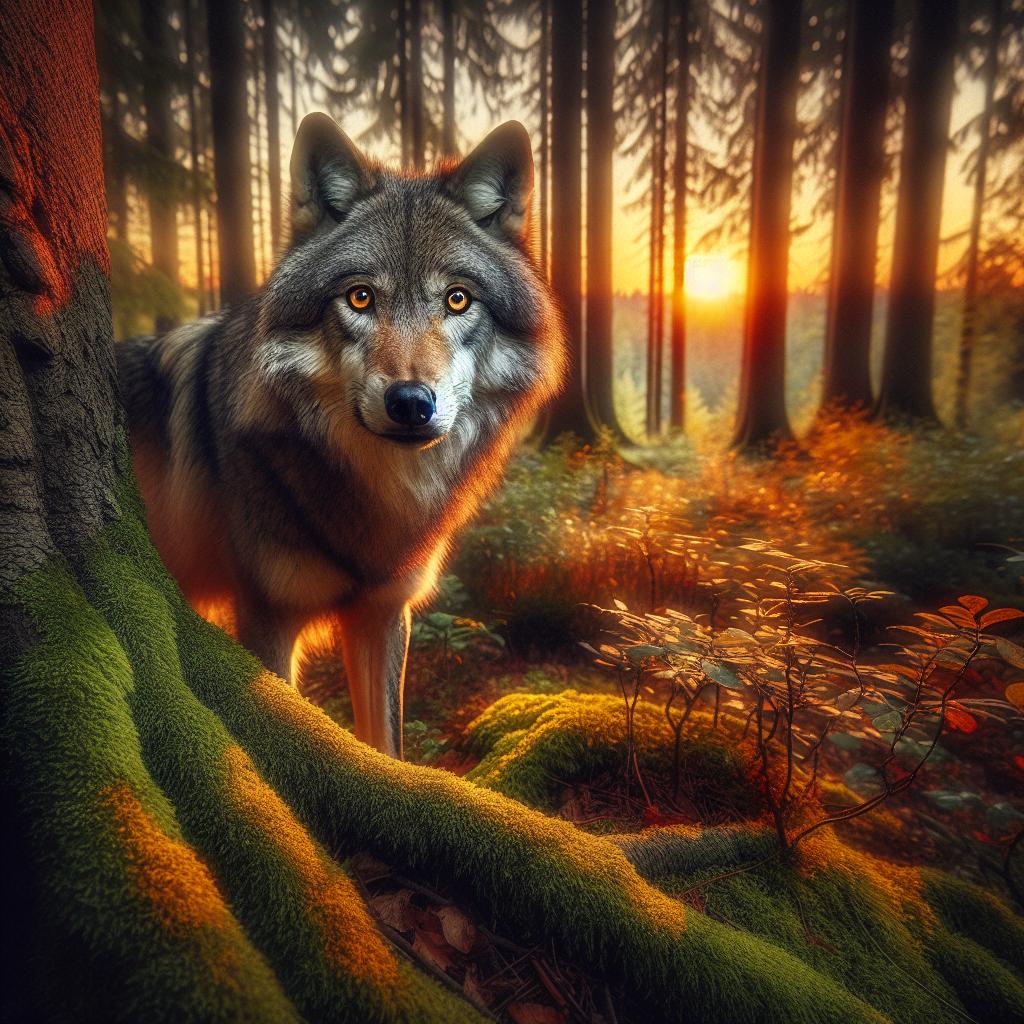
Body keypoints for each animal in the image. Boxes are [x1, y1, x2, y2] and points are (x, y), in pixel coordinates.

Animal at [117, 113, 566, 758]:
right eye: (360, 296)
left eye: (458, 299)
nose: (410, 403)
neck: (379, 499)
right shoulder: (266, 621)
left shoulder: (383, 617)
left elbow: (387, 749)